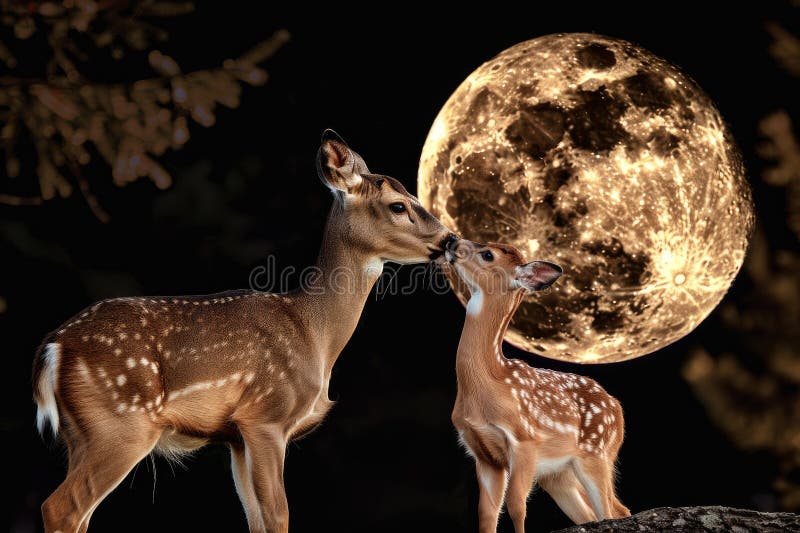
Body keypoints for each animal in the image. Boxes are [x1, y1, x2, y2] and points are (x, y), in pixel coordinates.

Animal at [32, 130, 457, 533]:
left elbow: (256, 518)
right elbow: (279, 515)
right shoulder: (266, 415)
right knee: (61, 507)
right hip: (121, 423)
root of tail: (53, 349)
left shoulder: (235, 437)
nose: (450, 239)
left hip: (81, 433)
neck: (314, 332)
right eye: (398, 205)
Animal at [442, 239, 630, 533]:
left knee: (611, 510)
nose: (452, 240)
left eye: (488, 254)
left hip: (598, 452)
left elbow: (516, 505)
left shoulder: (525, 440)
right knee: (598, 513)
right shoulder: (483, 454)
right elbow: (486, 513)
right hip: (559, 474)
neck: (488, 382)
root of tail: (617, 407)